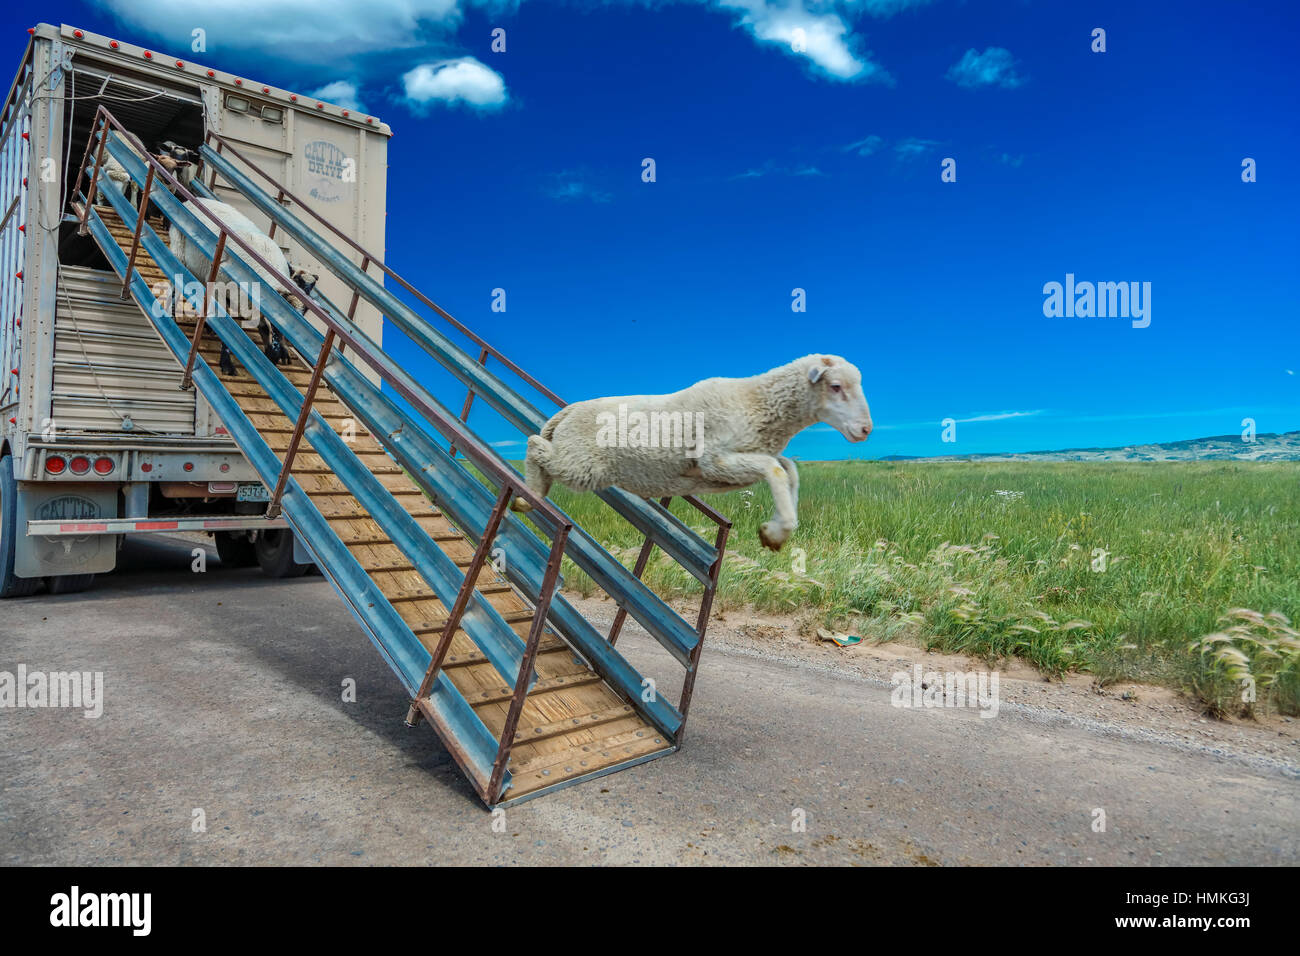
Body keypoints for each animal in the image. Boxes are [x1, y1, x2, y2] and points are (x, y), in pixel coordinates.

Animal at [167, 198, 305, 375]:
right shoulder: (220, 290)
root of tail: (198, 200)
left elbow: (262, 328)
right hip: (179, 253)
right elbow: (228, 330)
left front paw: (271, 356)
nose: (278, 355)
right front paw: (227, 365)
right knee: (175, 285)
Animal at [511, 354, 872, 551]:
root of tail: (569, 411)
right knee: (534, 443)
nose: (866, 429)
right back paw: (529, 496)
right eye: (836, 386)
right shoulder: (714, 461)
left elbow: (788, 470)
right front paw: (778, 531)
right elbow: (776, 471)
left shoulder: (746, 458)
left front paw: (774, 533)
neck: (757, 401)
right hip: (581, 464)